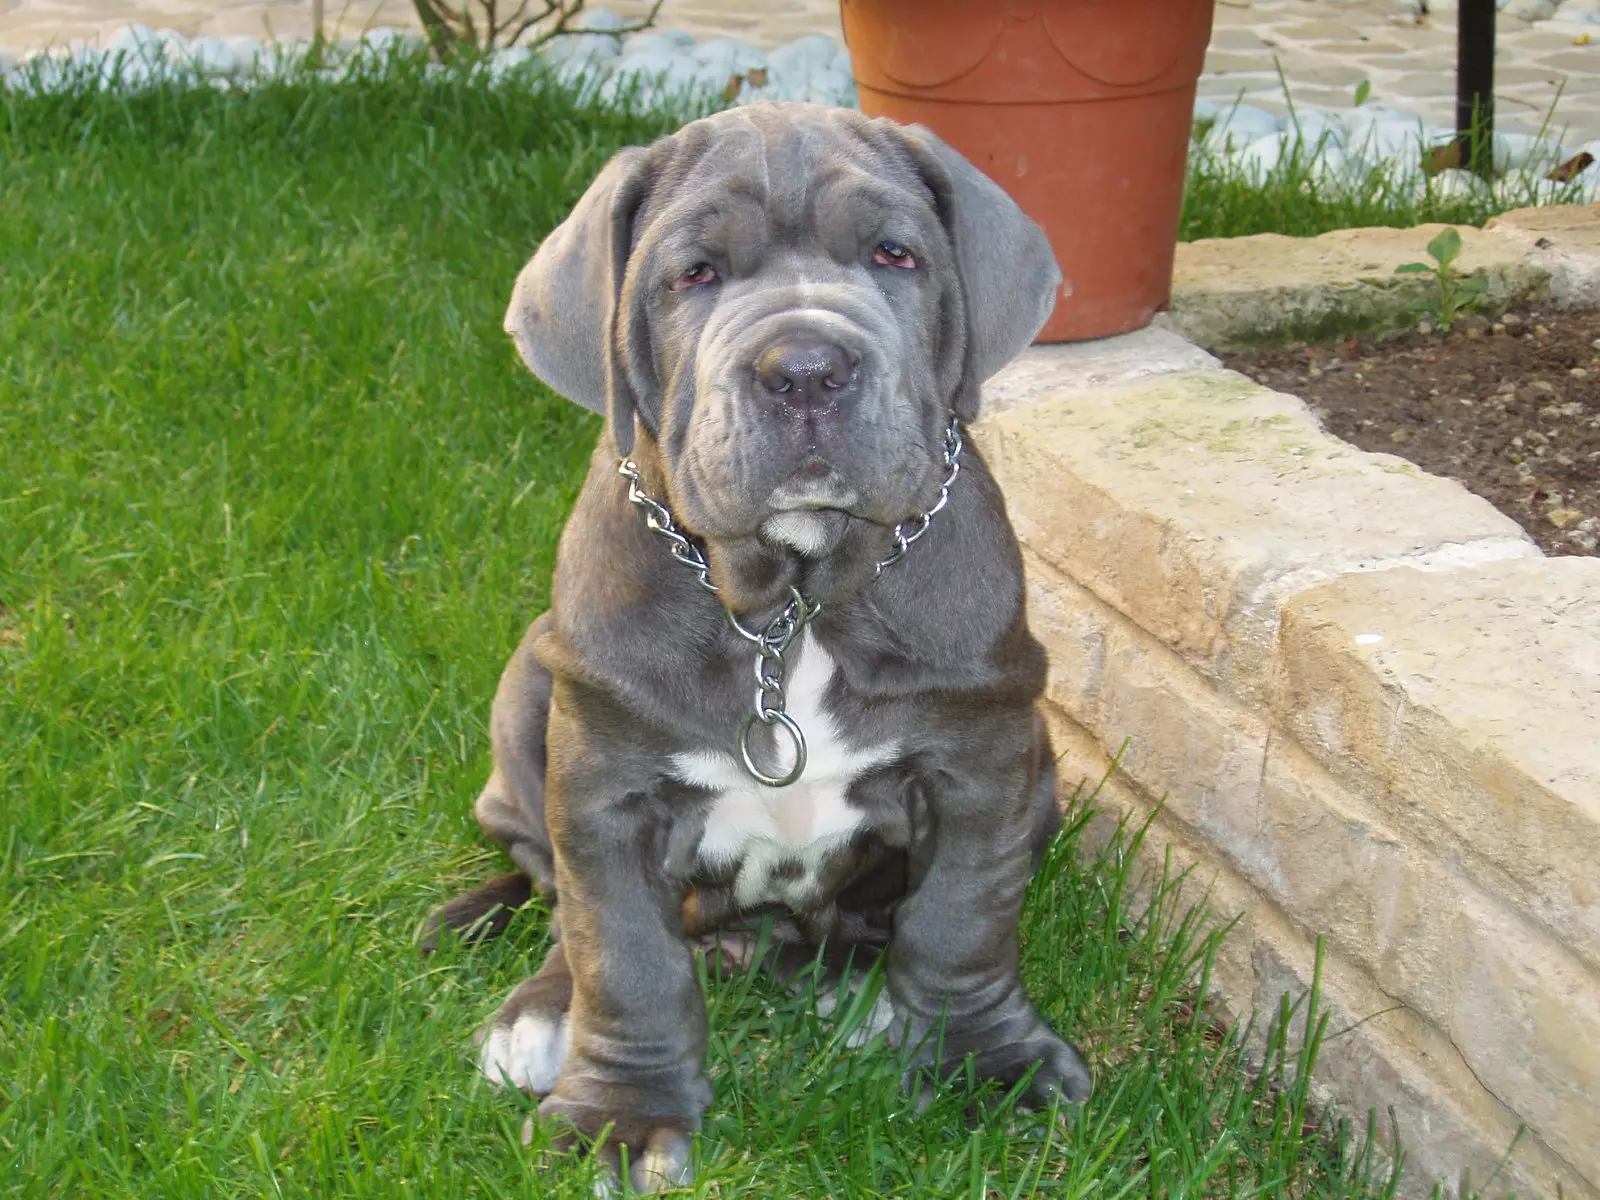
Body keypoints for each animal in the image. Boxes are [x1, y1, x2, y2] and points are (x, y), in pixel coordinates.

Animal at [425, 101, 1094, 1196]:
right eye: (693, 273)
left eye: (895, 254)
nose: (807, 368)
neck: (790, 605)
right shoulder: (607, 786)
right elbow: (623, 951)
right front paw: (618, 1117)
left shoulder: (982, 761)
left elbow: (962, 920)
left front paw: (987, 1063)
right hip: (530, 687)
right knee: (554, 891)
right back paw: (544, 1012)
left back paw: (852, 979)